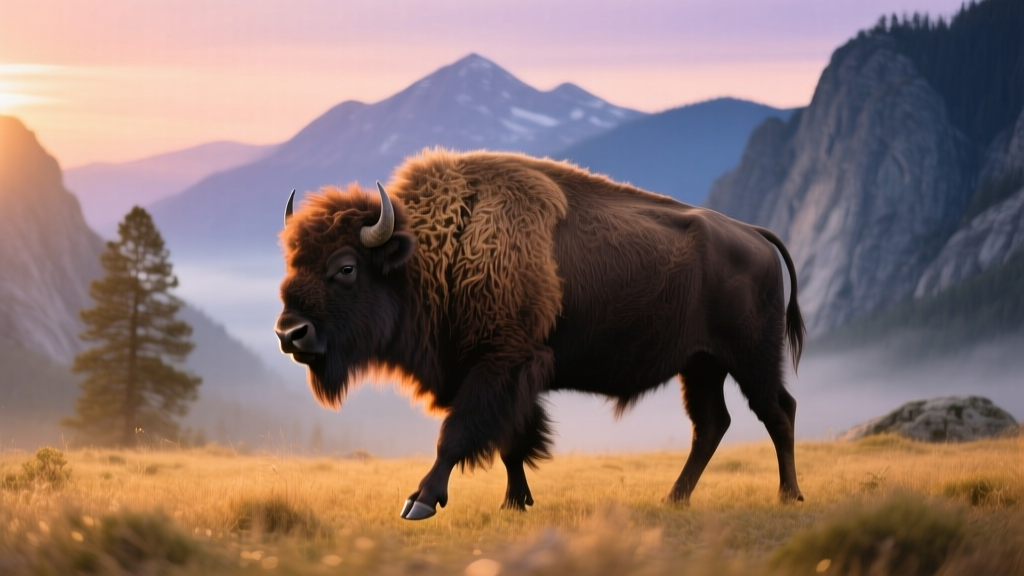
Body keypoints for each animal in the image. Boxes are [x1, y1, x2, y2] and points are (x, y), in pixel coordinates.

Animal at [276, 149, 805, 520]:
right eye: (293, 259)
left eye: (346, 267)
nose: (289, 333)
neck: (436, 253)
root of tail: (755, 235)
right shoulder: (502, 375)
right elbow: (511, 441)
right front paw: (516, 502)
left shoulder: (499, 365)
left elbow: (457, 435)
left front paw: (420, 501)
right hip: (701, 365)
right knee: (712, 425)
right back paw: (674, 498)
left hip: (750, 357)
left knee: (777, 412)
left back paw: (788, 495)